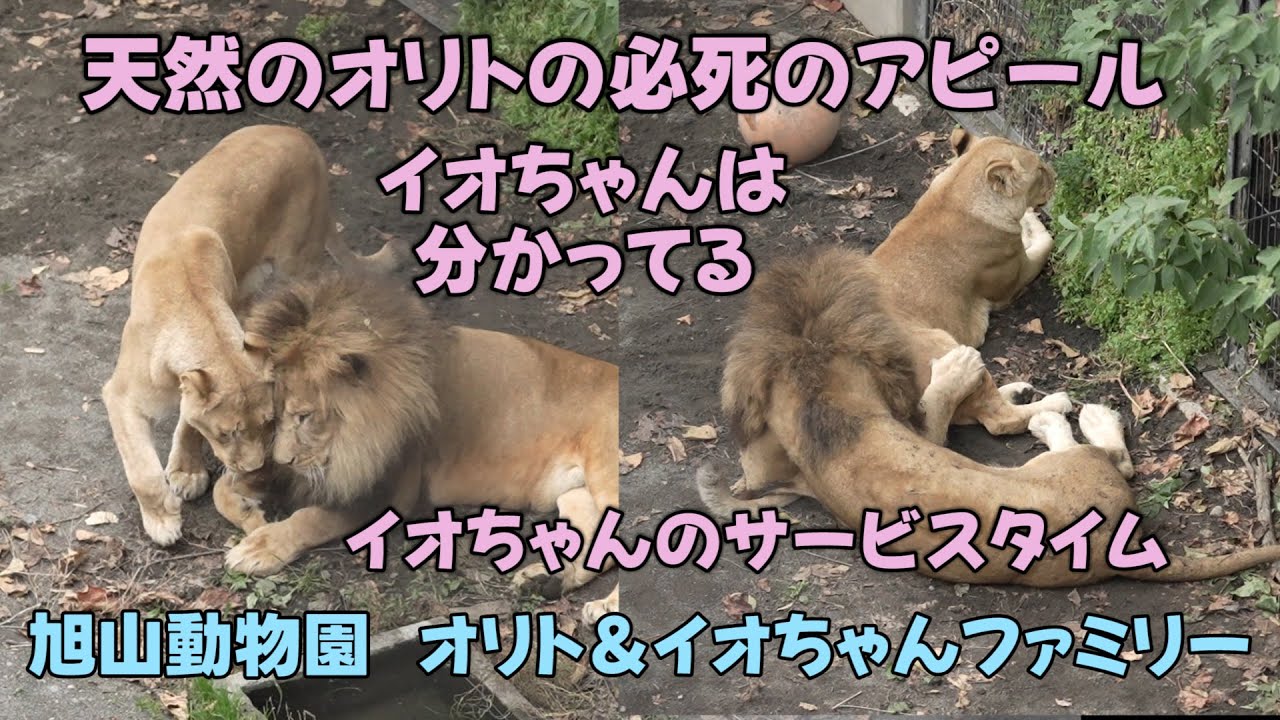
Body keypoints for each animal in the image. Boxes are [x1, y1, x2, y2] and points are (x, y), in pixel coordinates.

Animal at [102, 125, 393, 546]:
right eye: (227, 433)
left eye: (269, 423)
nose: (256, 469)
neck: (192, 304)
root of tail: (298, 133)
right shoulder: (121, 395)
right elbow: (142, 470)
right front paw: (162, 520)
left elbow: (188, 421)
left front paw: (186, 470)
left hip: (297, 260)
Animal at [212, 268, 620, 620]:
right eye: (274, 415)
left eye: (305, 416)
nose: (284, 459)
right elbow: (221, 488)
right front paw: (251, 516)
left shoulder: (388, 490)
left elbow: (311, 518)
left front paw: (259, 547)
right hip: (571, 494)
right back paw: (546, 581)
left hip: (604, 470)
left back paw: (605, 605)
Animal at [699, 246, 1280, 586]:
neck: (825, 416)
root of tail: (1119, 545)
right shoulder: (924, 432)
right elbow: (940, 404)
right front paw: (961, 368)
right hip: (1066, 469)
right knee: (1111, 456)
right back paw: (1073, 416)